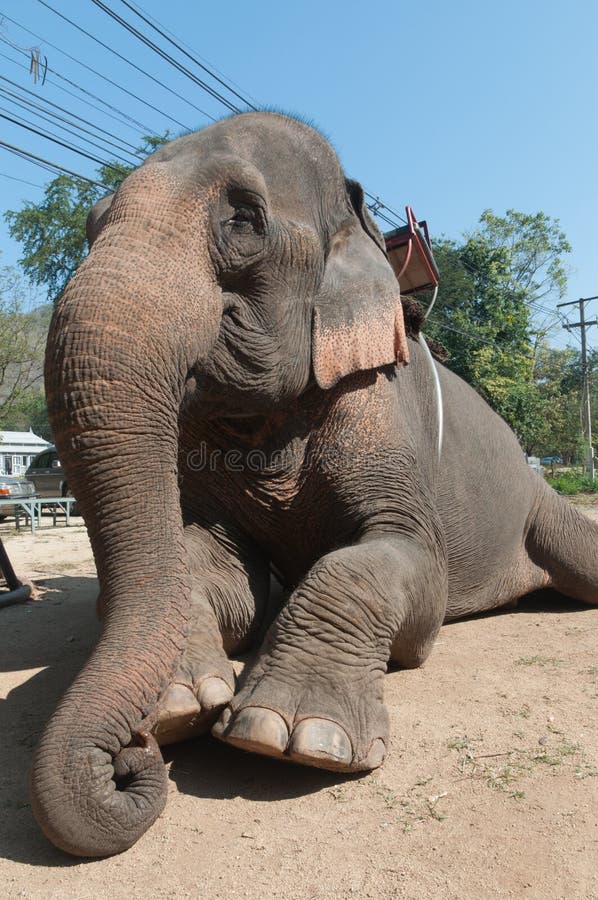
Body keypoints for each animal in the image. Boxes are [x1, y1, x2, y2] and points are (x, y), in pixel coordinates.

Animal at [33, 111, 598, 858]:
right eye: (91, 225)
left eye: (243, 220)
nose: (129, 759)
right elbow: (219, 566)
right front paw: (175, 706)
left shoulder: (382, 408)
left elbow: (405, 567)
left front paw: (290, 734)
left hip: (540, 509)